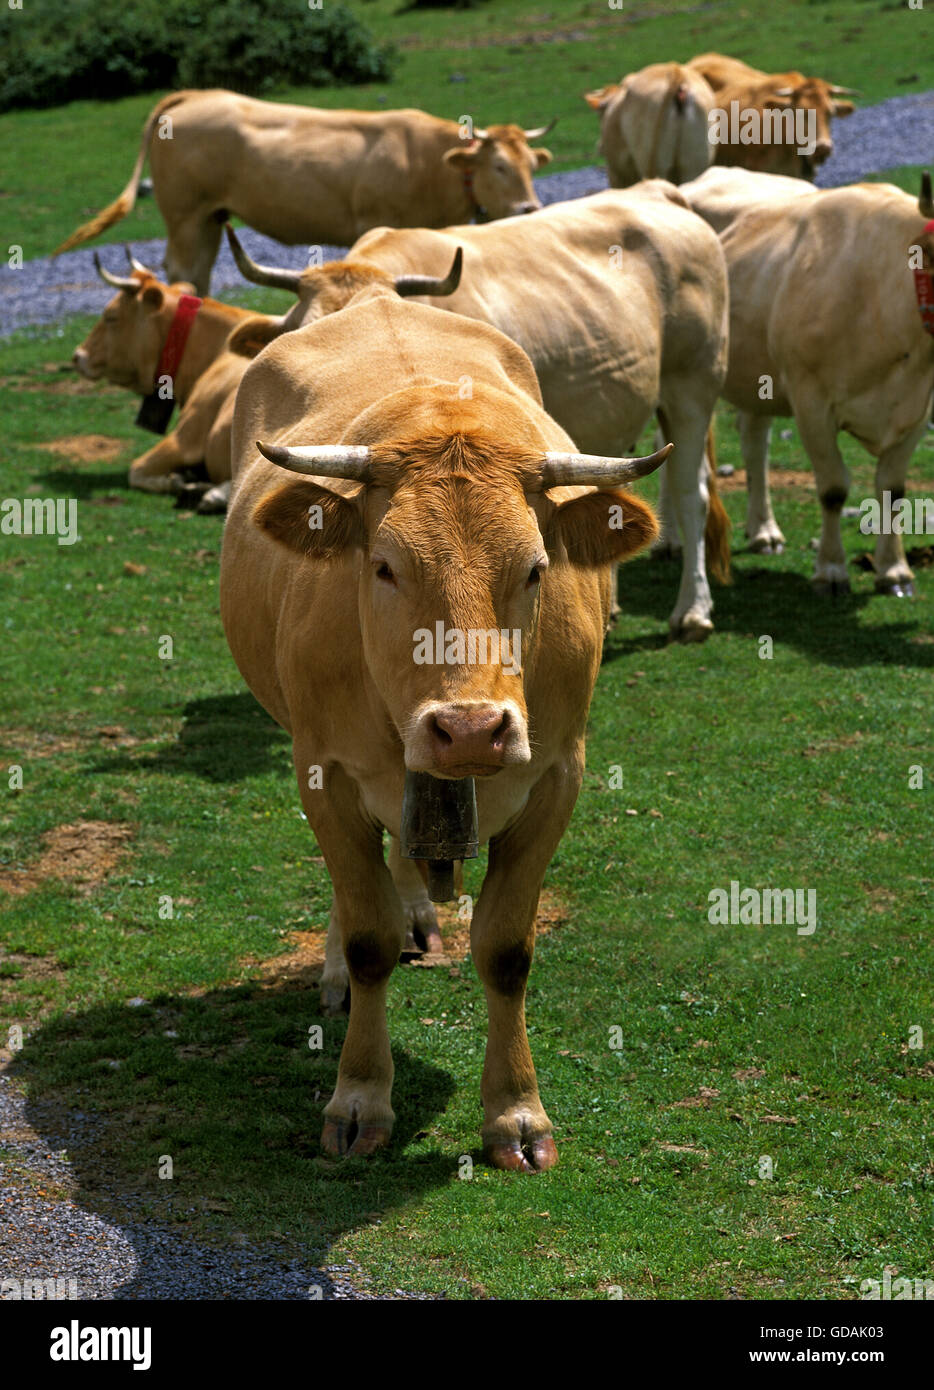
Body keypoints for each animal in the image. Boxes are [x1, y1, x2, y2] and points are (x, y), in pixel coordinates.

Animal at [53, 90, 555, 293]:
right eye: (499, 165)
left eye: (532, 165)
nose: (530, 208)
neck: (430, 164)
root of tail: (195, 94)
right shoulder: (375, 219)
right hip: (185, 216)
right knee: (183, 269)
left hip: (212, 217)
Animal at [220, 276, 668, 1168]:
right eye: (385, 566)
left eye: (535, 567)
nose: (468, 729)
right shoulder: (323, 772)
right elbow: (367, 939)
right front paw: (359, 1098)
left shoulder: (557, 776)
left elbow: (505, 949)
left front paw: (517, 1113)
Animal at [680, 166, 934, 596]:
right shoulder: (811, 400)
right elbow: (833, 489)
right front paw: (831, 570)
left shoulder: (918, 409)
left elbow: (892, 491)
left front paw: (894, 571)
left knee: (754, 441)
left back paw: (763, 531)